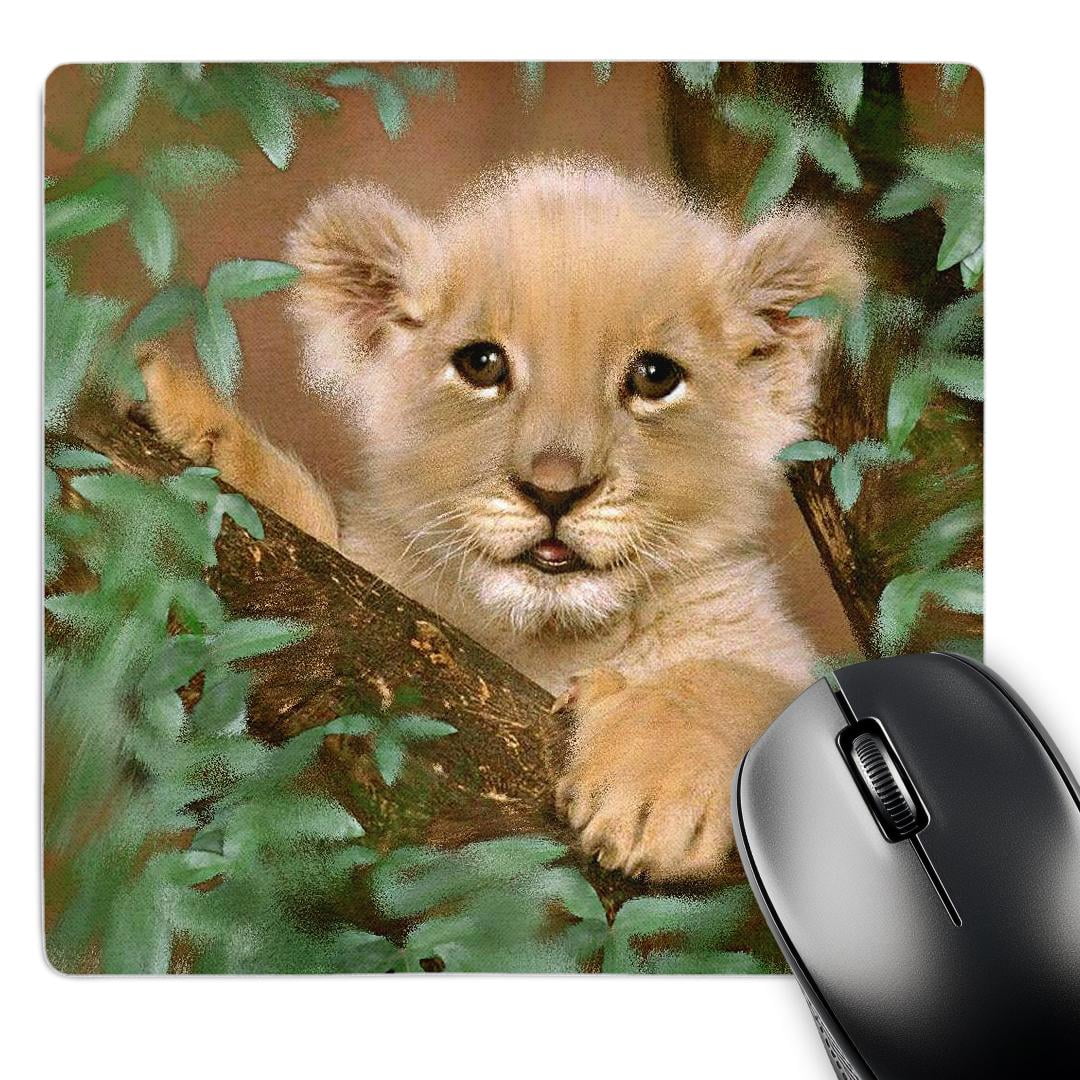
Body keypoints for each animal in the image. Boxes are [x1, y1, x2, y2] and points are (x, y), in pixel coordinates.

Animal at [139, 160, 862, 882]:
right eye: (481, 365)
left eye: (655, 377)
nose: (554, 491)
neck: (546, 635)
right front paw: (184, 422)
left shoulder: (762, 637)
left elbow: (734, 681)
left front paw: (649, 792)